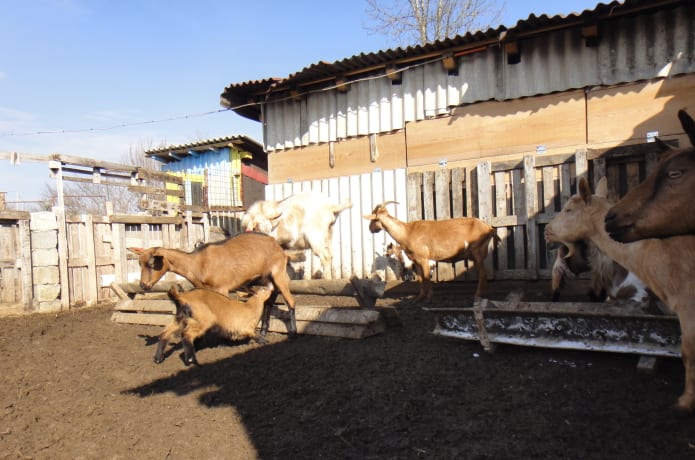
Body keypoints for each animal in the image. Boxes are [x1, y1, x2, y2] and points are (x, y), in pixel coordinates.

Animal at [128, 232, 297, 337]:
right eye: (139, 263)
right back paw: (263, 331)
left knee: (290, 301)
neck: (197, 263)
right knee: (268, 301)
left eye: (152, 264)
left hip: (279, 274)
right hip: (266, 279)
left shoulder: (221, 288)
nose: (143, 285)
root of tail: (280, 249)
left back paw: (293, 333)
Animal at [363, 202, 498, 303]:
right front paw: (418, 299)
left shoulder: (424, 259)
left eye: (373, 219)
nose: (370, 229)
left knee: (483, 274)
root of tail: (489, 228)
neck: (407, 232)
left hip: (478, 252)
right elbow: (421, 279)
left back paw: (477, 296)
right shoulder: (416, 261)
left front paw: (428, 299)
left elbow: (427, 278)